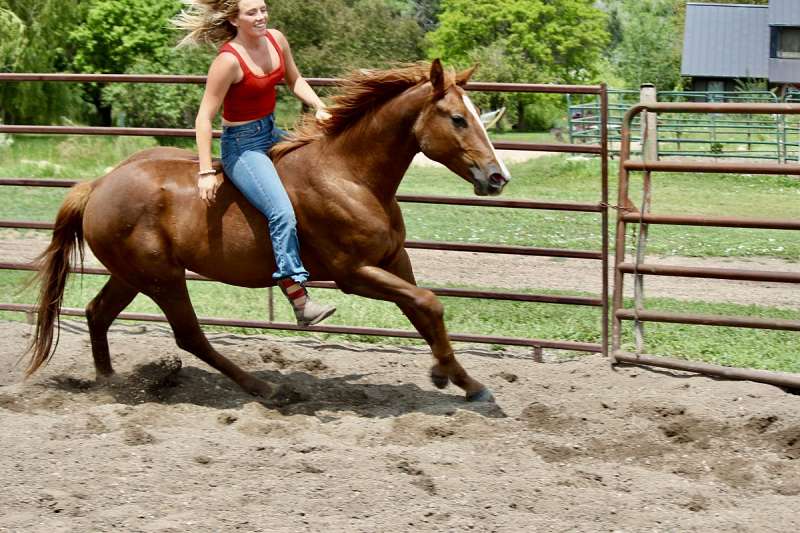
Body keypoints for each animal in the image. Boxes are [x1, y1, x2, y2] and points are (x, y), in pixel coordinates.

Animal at [25, 60, 511, 403]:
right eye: (458, 119)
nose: (497, 177)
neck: (349, 176)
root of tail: (98, 185)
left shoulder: (394, 260)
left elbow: (423, 312)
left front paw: (461, 380)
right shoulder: (353, 273)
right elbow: (429, 304)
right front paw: (451, 377)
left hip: (132, 275)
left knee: (97, 313)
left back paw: (109, 382)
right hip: (162, 278)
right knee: (189, 335)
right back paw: (266, 389)